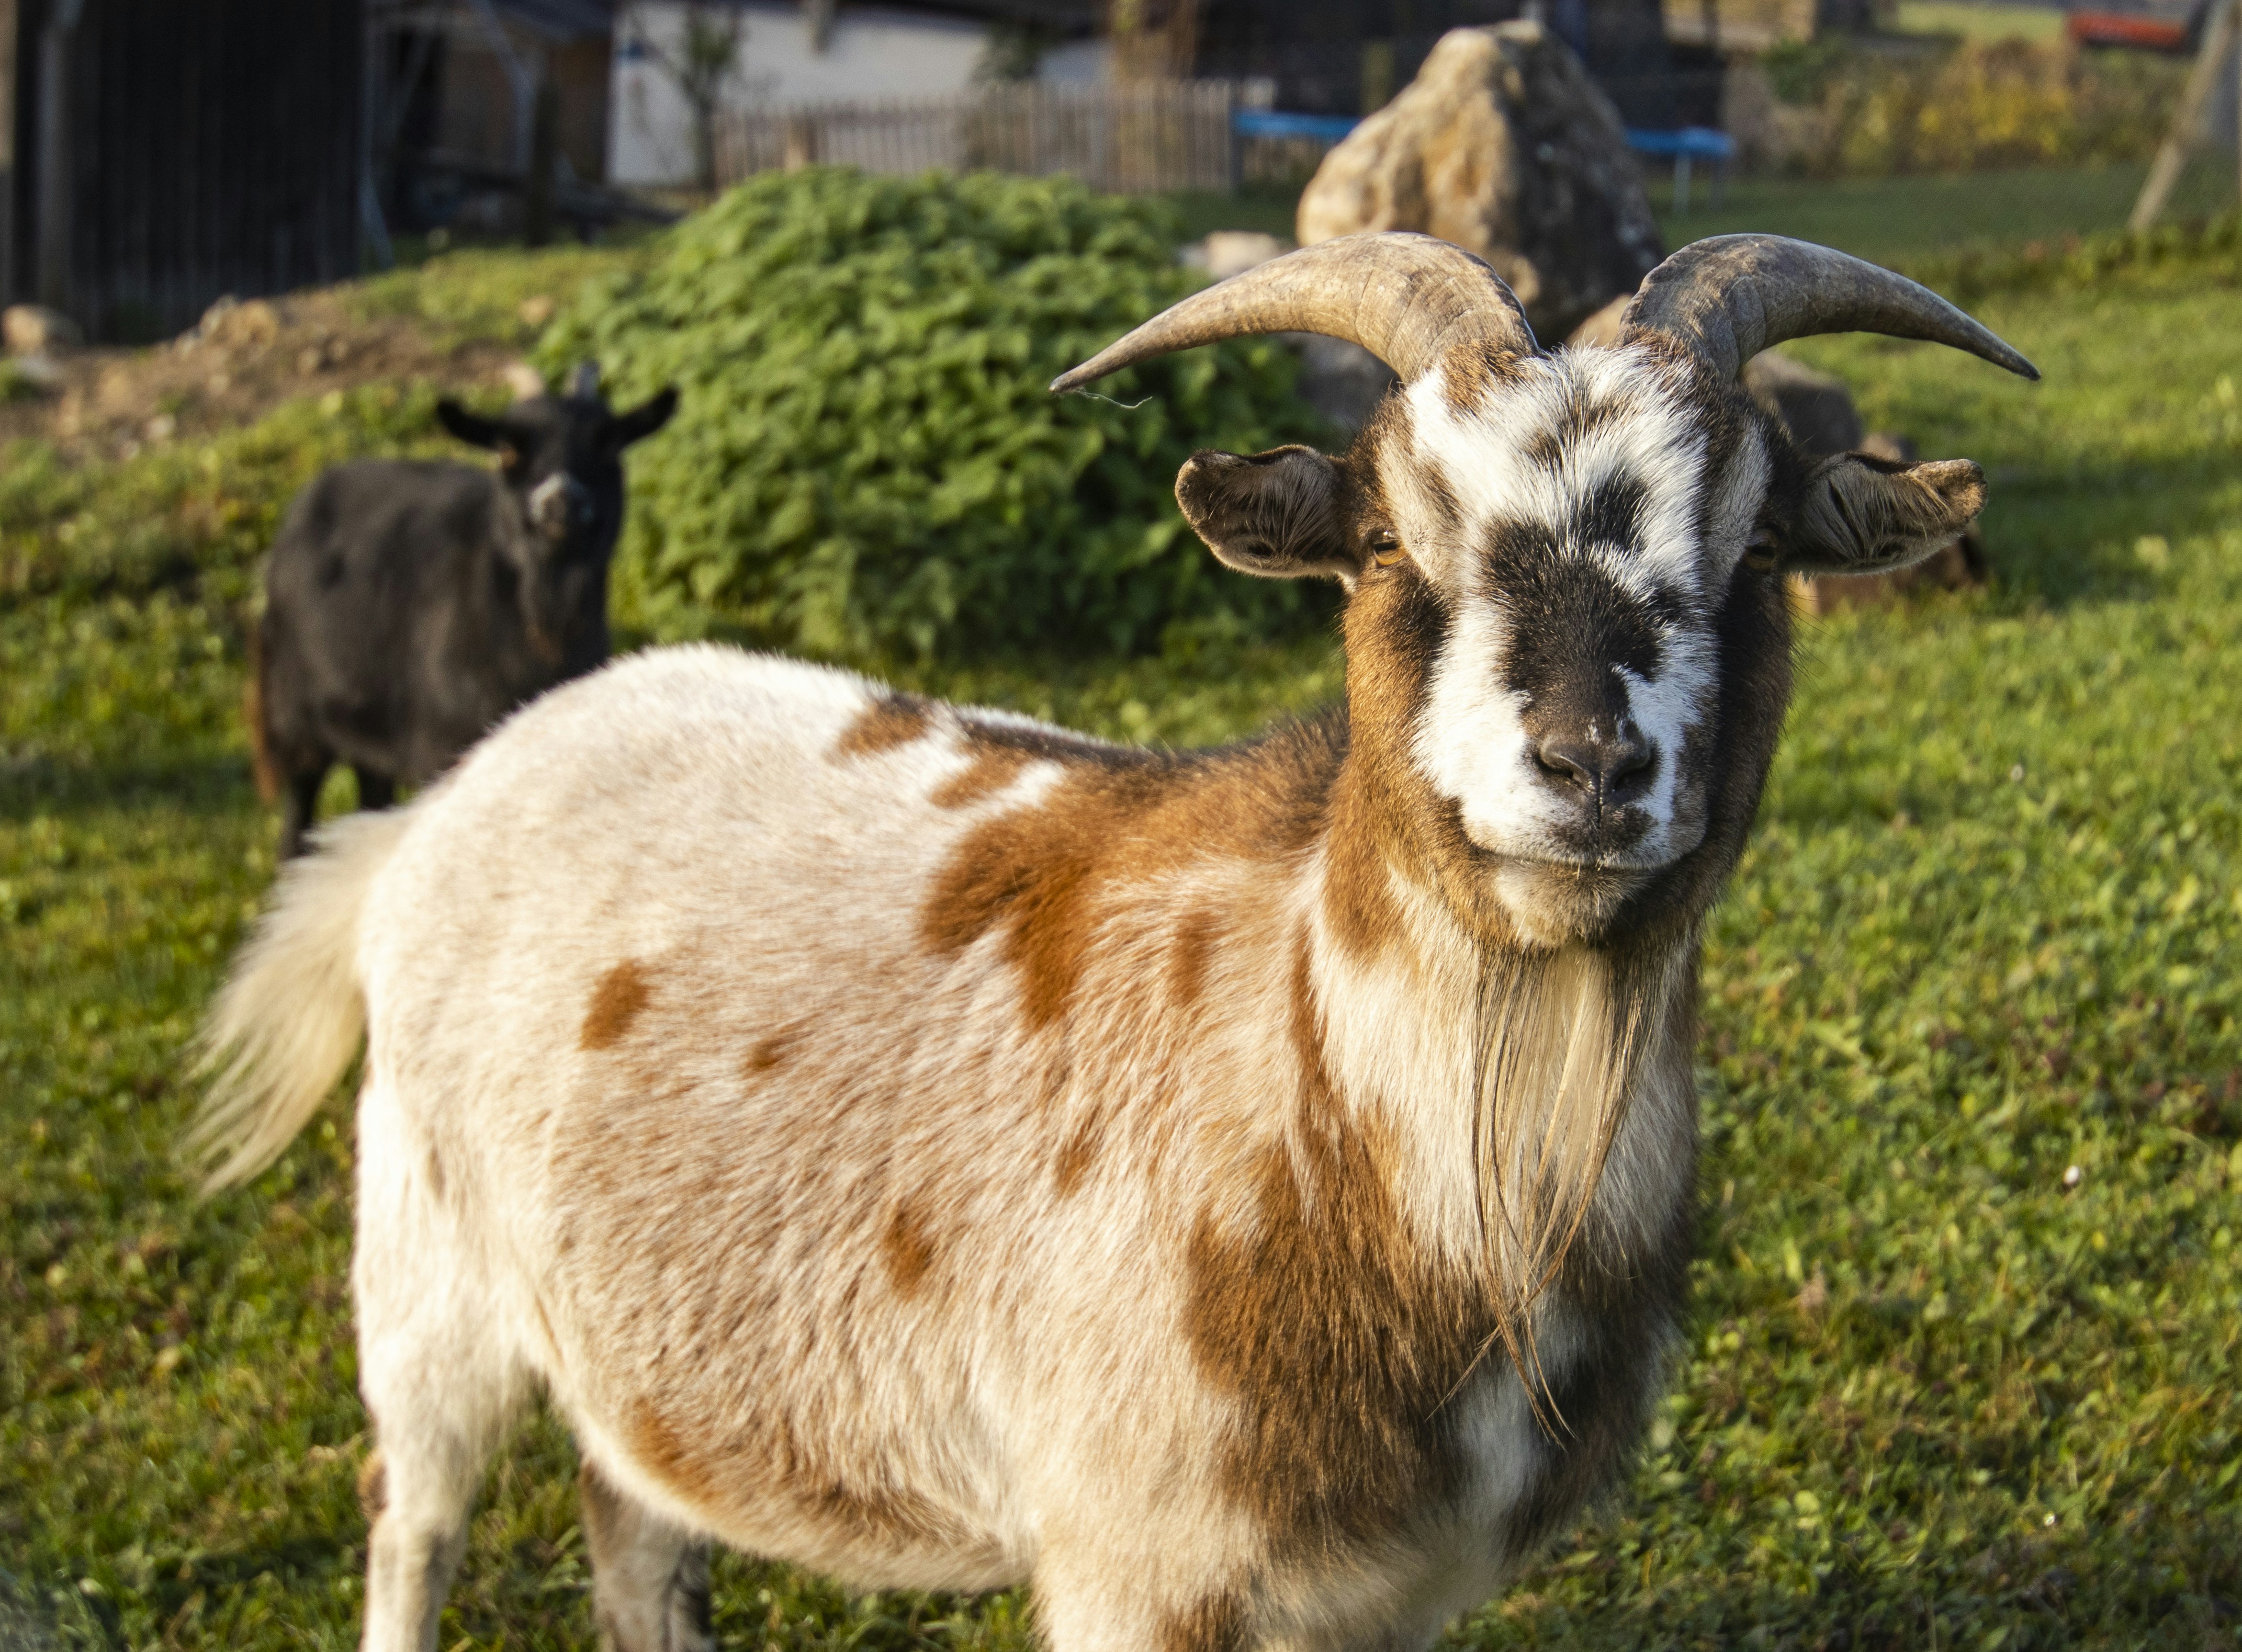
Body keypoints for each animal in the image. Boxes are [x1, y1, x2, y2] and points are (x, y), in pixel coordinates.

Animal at [247, 365, 677, 858]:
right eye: (508, 452)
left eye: (606, 445)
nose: (560, 504)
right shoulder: (441, 748)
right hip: (296, 714)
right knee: (298, 813)